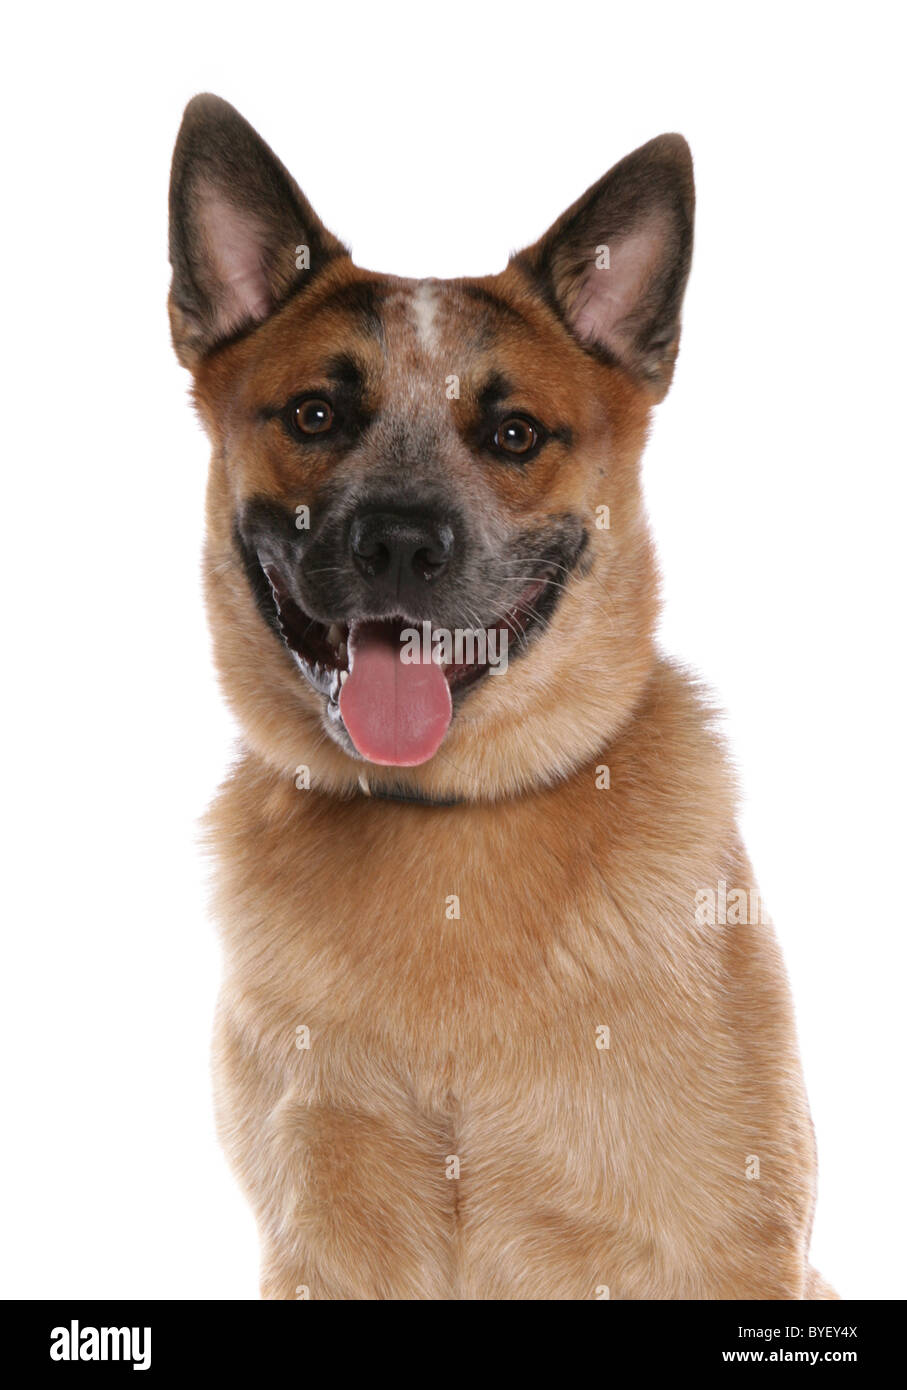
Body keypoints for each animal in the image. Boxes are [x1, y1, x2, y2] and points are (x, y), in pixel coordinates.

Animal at [168, 92, 833, 1295]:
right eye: (316, 416)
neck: (444, 832)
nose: (398, 542)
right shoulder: (322, 1242)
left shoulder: (726, 1248)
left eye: (512, 432)